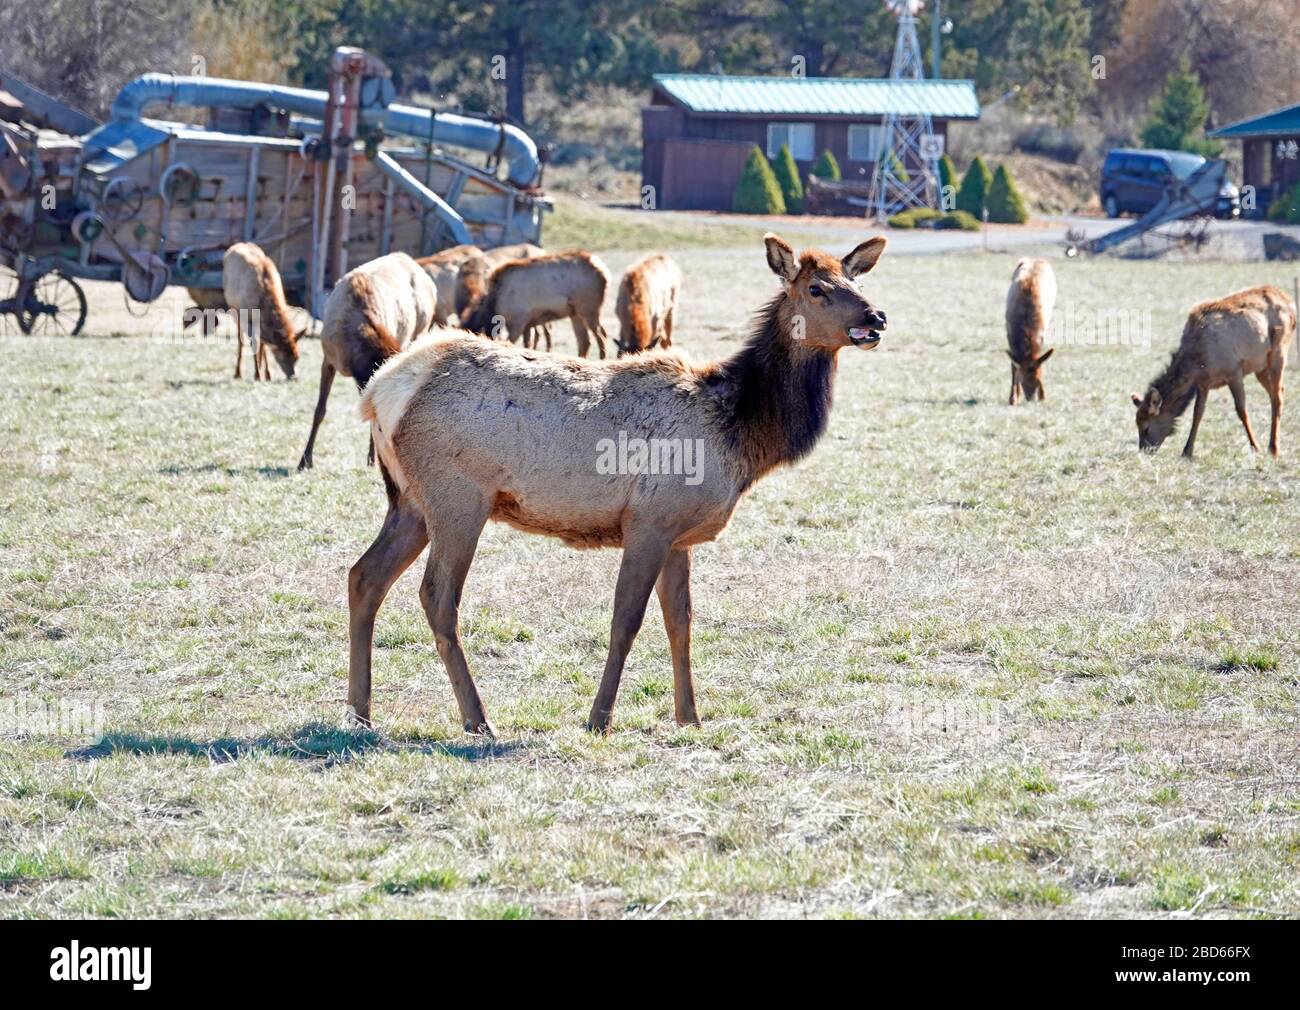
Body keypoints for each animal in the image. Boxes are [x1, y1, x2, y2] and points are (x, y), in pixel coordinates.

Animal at [222, 242, 304, 381]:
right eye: (281, 357)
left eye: (297, 356)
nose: (293, 377)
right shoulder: (247, 318)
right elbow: (254, 345)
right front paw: (257, 374)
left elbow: (263, 345)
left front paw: (267, 373)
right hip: (234, 309)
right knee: (240, 340)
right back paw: (238, 372)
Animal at [462, 249, 611, 358]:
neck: (494, 303)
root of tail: (604, 273)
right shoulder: (528, 323)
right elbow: (527, 344)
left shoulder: (518, 321)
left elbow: (510, 342)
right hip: (575, 314)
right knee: (585, 341)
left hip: (588, 308)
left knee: (601, 335)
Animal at [1005, 257, 1056, 404]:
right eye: (1024, 380)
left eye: (1039, 379)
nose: (1032, 398)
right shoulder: (1009, 332)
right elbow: (1013, 366)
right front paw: (1013, 398)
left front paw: (1043, 396)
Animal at [1132, 285, 1295, 458]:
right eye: (1137, 424)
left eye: (1146, 428)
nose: (1143, 451)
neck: (1197, 362)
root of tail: (1289, 300)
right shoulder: (1204, 383)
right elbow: (1197, 413)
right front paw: (1187, 451)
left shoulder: (1234, 370)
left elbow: (1241, 410)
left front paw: (1255, 447)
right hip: (1261, 366)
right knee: (1277, 392)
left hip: (1278, 352)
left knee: (1277, 396)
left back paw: (1274, 449)